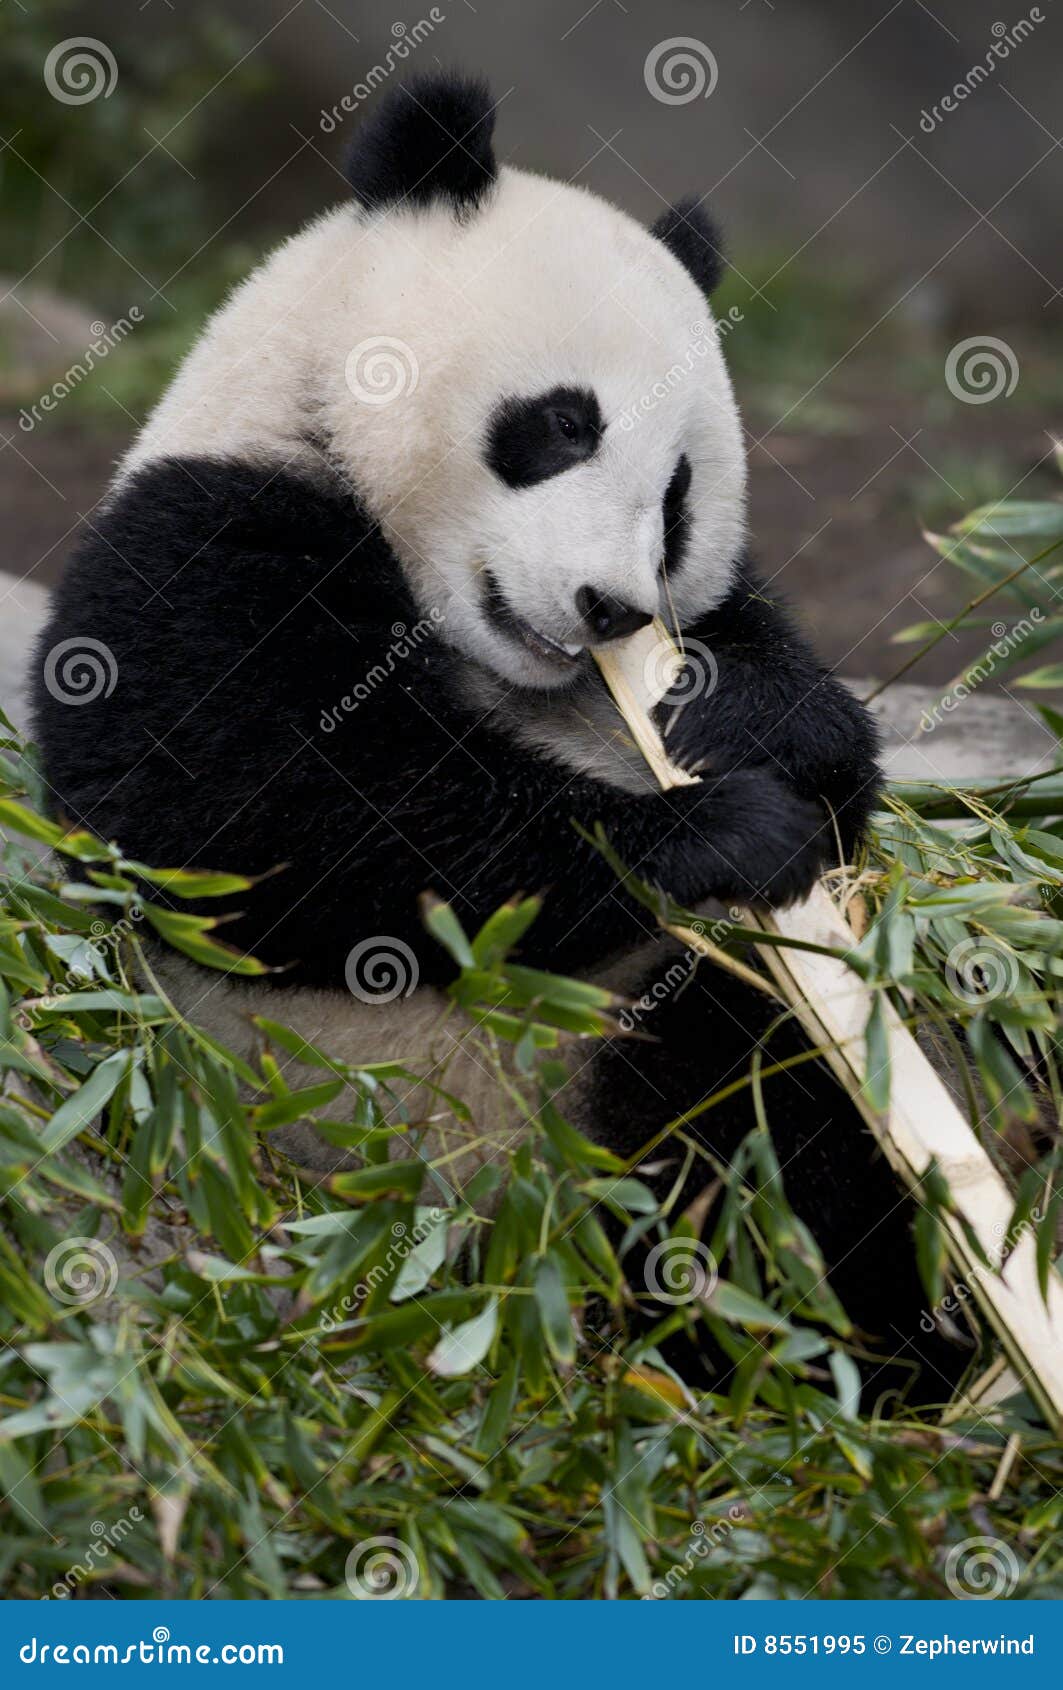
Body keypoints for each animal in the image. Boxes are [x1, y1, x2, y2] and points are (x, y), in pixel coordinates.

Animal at [33, 72, 965, 1402]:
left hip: (652, 1028)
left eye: (679, 494)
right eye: (563, 424)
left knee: (775, 1120)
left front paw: (748, 722)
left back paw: (864, 1356)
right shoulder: (197, 537)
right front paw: (715, 830)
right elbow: (259, 814)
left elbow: (799, 724)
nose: (609, 608)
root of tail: (519, 1249)